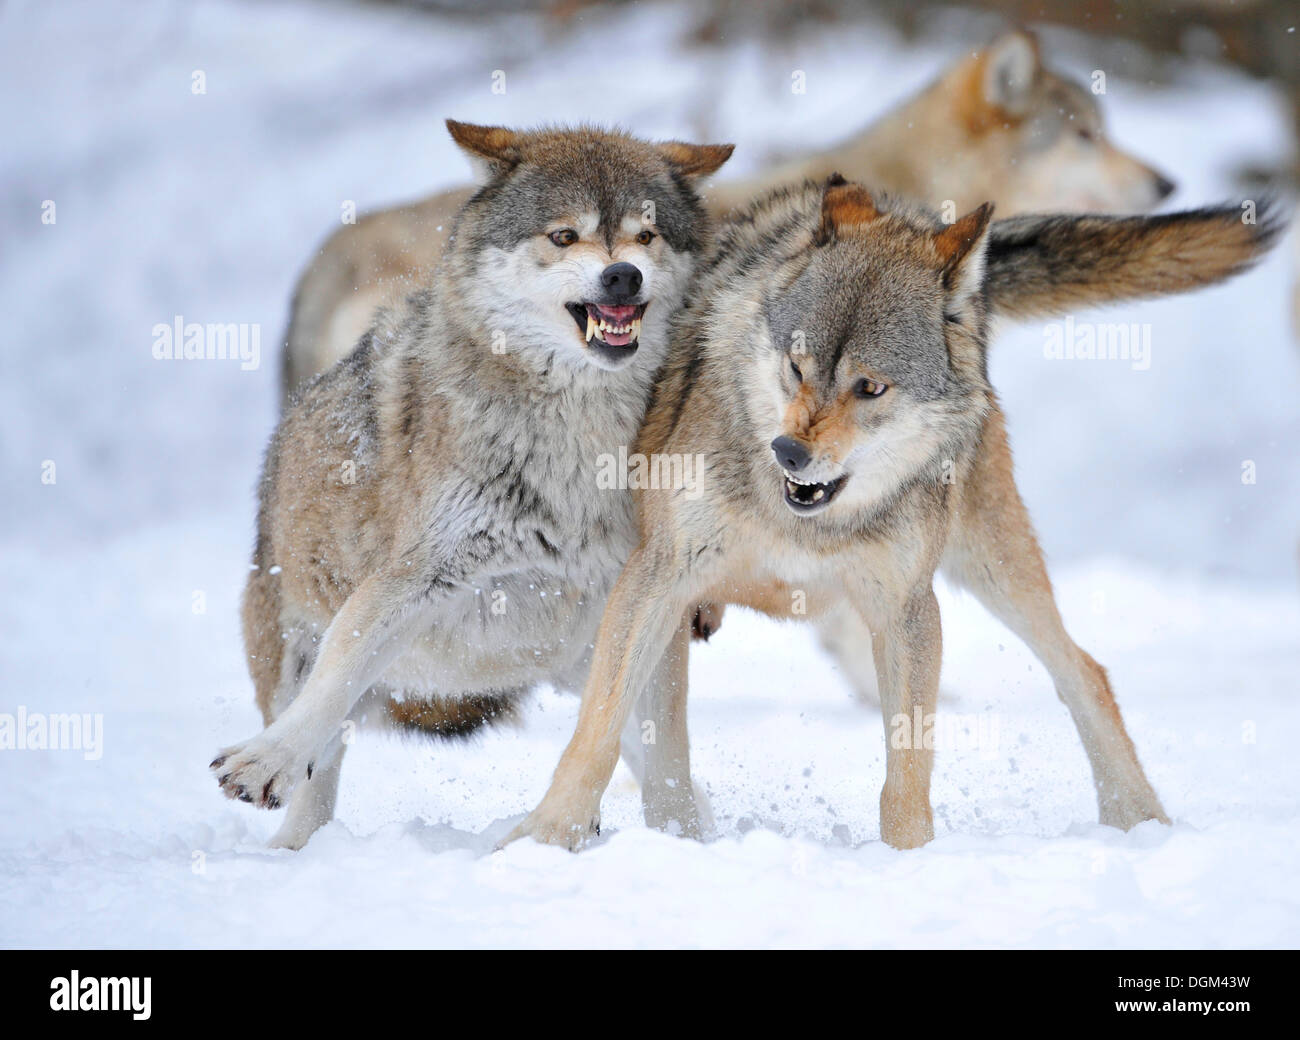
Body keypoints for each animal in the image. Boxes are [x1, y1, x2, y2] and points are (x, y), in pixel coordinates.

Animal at [211, 121, 732, 850]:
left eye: (646, 235)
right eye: (564, 236)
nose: (621, 274)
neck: (581, 434)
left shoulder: (652, 591)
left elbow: (667, 758)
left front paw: (680, 842)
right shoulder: (416, 576)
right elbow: (337, 673)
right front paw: (263, 762)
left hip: (578, 658)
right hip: (305, 662)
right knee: (318, 770)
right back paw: (293, 844)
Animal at [504, 177, 1280, 850]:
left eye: (870, 387)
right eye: (796, 366)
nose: (788, 451)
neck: (801, 522)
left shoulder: (906, 606)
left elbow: (906, 773)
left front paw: (909, 863)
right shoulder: (658, 577)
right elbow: (596, 731)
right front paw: (545, 838)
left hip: (993, 565)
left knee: (1084, 670)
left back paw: (1138, 818)